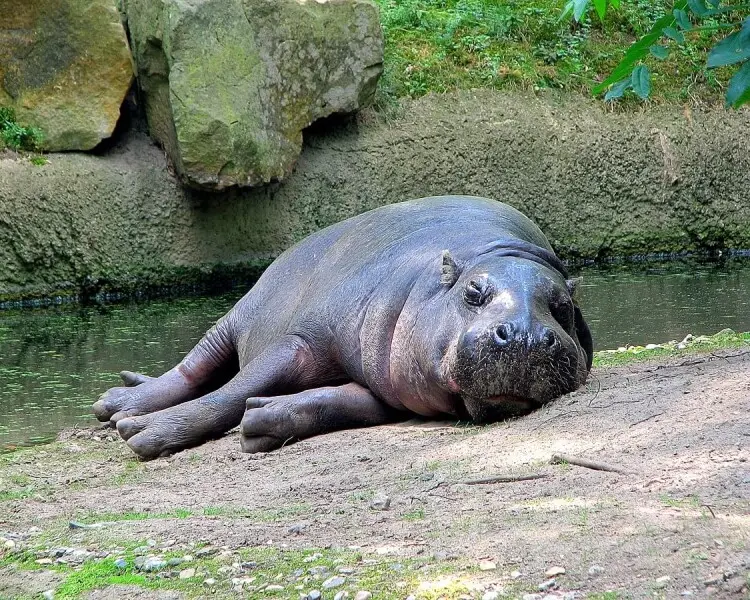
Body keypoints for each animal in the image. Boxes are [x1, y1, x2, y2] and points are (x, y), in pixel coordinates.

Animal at [93, 196, 593, 459]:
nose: (525, 335)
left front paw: (262, 419)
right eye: (474, 292)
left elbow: (334, 402)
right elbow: (229, 393)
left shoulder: (387, 387)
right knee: (194, 368)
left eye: (564, 307)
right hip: (233, 318)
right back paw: (118, 404)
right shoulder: (298, 343)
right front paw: (140, 433)